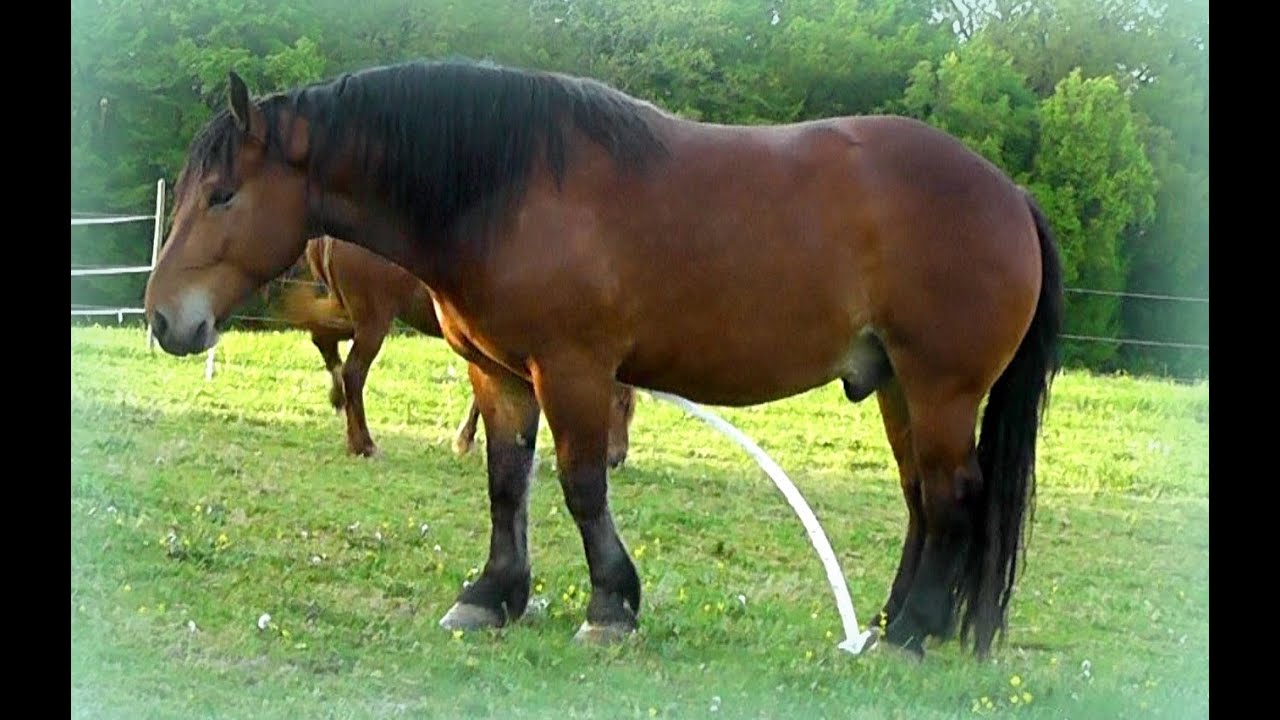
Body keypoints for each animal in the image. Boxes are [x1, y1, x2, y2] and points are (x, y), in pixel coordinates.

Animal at [276, 234, 638, 465]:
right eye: (621, 404)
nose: (616, 458)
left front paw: (466, 440)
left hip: (353, 313)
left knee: (322, 338)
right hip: (373, 322)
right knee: (353, 372)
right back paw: (363, 444)